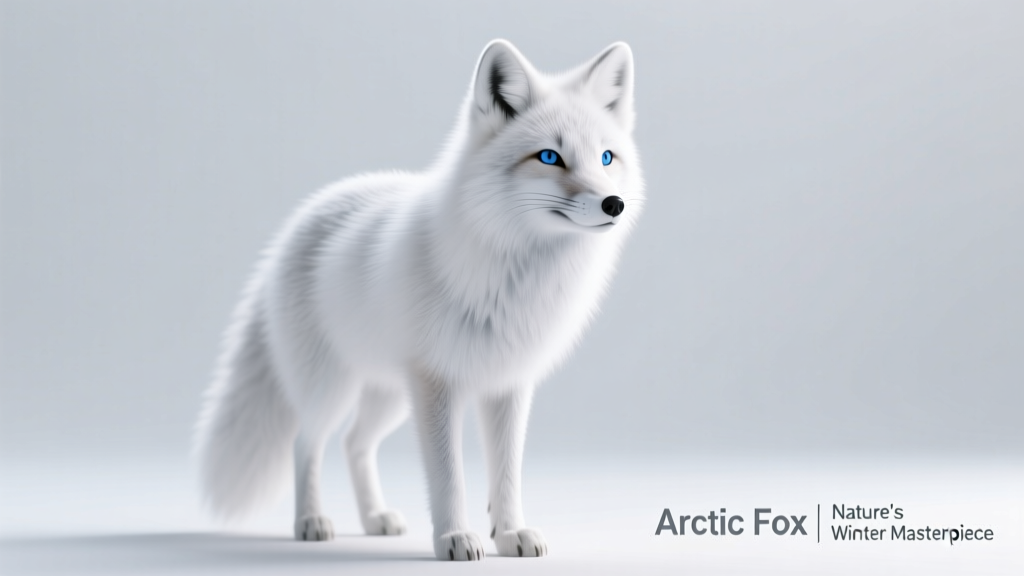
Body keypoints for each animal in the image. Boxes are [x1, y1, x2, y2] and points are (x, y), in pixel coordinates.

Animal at [194, 39, 644, 561]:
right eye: (550, 157)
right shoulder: (437, 383)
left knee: (354, 443)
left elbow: (506, 473)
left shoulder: (508, 382)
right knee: (307, 444)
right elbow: (449, 476)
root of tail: (298, 222)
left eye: (607, 157)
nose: (615, 204)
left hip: (388, 396)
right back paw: (311, 521)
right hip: (332, 389)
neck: (515, 273)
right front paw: (455, 538)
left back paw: (374, 518)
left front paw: (510, 532)